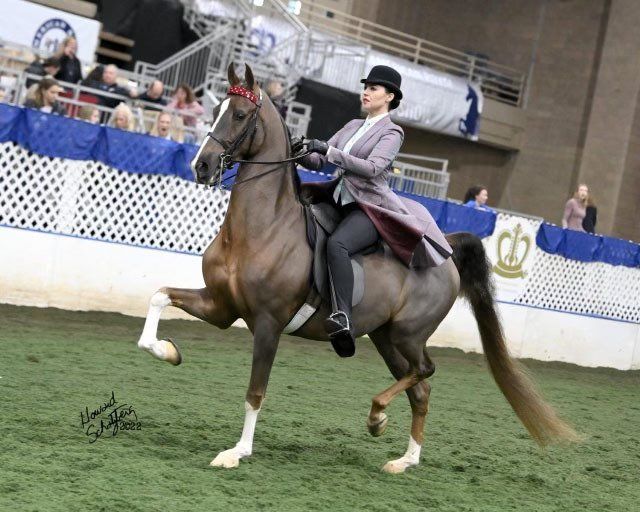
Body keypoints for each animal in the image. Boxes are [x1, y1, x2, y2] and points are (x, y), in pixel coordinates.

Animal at [136, 63, 579, 473]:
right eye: (215, 109)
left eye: (241, 115)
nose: (202, 166)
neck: (261, 228)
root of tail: (446, 251)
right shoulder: (221, 308)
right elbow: (158, 297)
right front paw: (168, 351)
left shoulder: (266, 323)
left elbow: (255, 392)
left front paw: (236, 452)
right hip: (386, 337)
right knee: (421, 389)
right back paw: (404, 459)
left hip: (407, 335)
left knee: (426, 370)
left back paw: (378, 416)